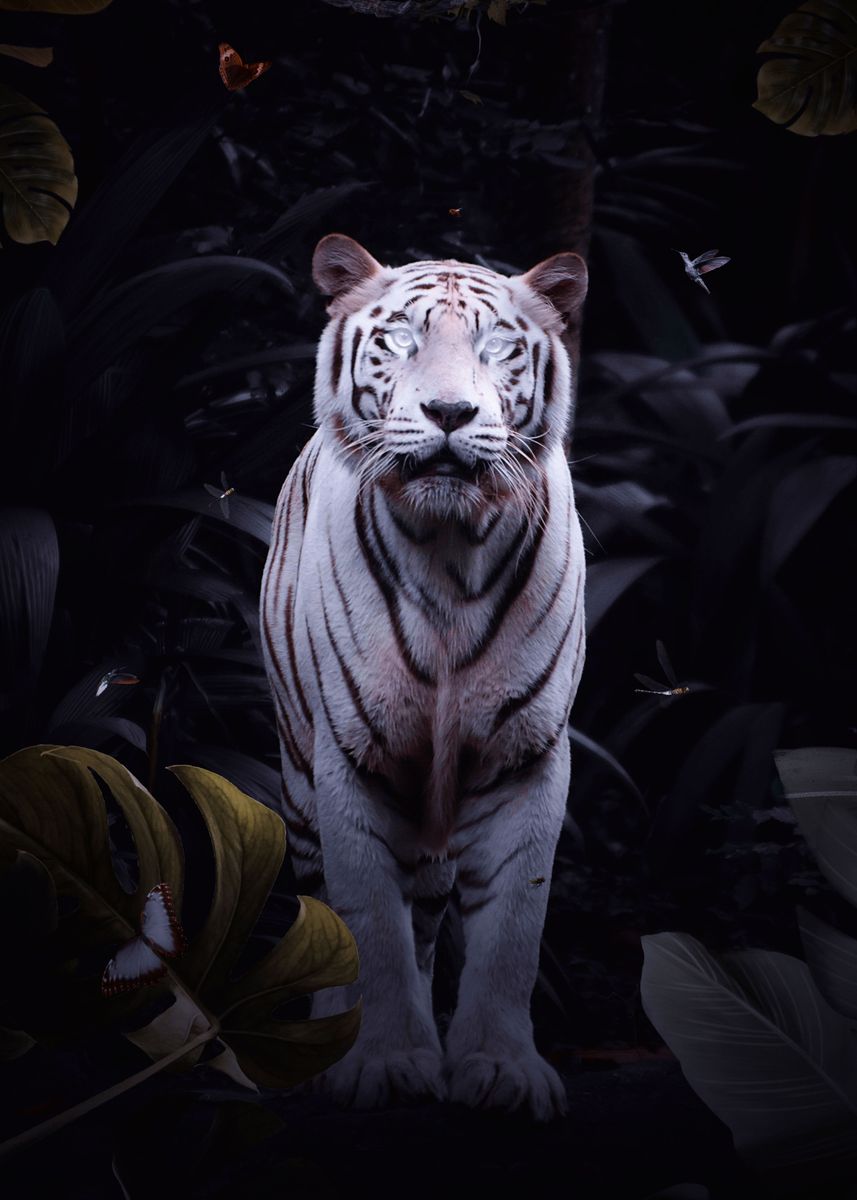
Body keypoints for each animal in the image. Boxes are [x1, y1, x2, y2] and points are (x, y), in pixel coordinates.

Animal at [260, 233, 588, 1121]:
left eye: (496, 344)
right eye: (400, 338)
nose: (449, 414)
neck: (449, 551)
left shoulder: (525, 757)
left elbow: (514, 927)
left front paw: (500, 1067)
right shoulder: (350, 757)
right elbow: (370, 921)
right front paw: (385, 1061)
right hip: (298, 778)